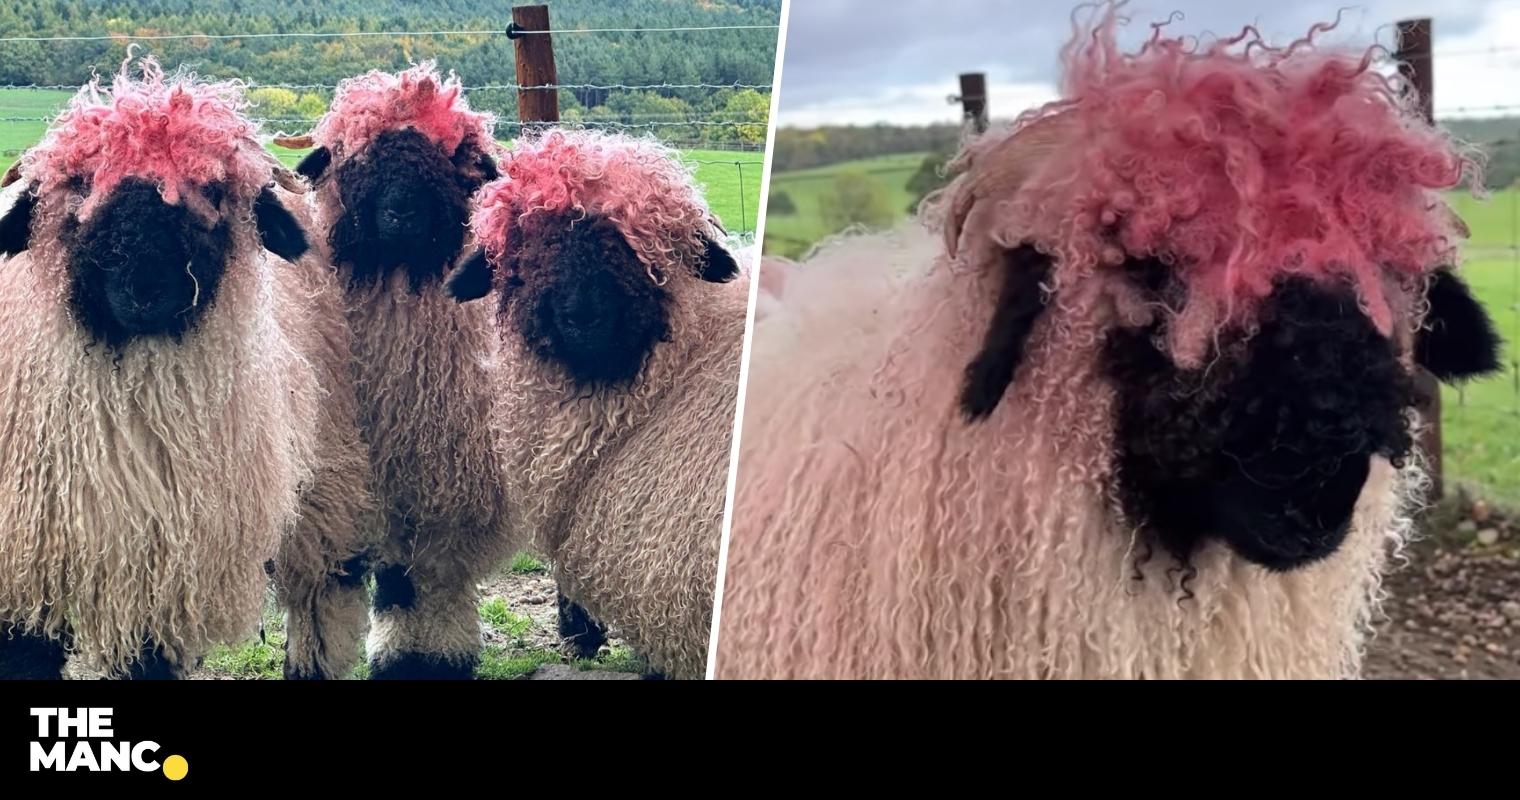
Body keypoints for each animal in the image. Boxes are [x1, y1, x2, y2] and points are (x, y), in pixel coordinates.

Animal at [0, 59, 374, 679]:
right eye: (80, 186)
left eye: (213, 192)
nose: (146, 288)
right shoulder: (27, 567)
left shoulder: (164, 572)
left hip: (327, 480)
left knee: (320, 604)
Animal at [288, 64, 517, 679]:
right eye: (356, 156)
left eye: (451, 157)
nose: (401, 212)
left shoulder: (443, 475)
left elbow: (429, 576)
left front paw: (432, 657)